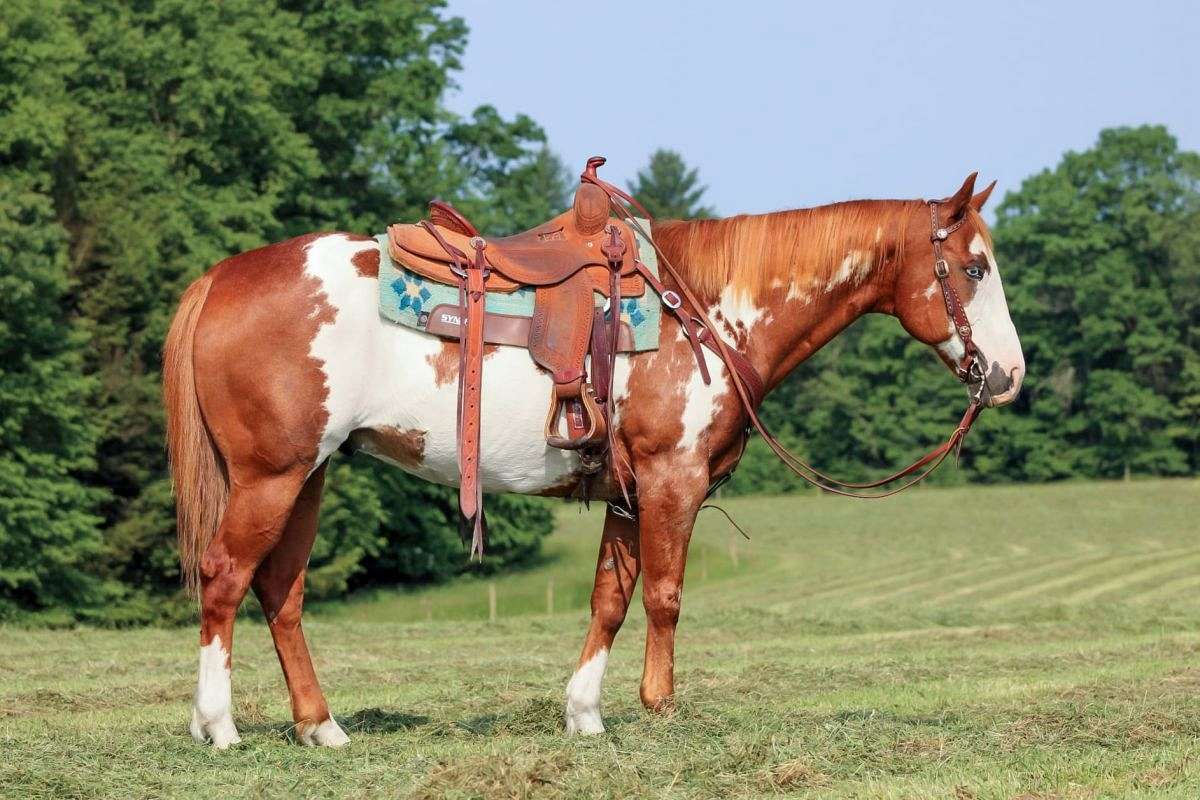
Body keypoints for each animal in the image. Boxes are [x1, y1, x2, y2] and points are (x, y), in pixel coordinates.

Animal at [164, 172, 1023, 747]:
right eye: (973, 268)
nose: (1009, 376)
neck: (707, 312)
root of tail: (221, 277)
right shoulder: (673, 480)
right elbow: (665, 596)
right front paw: (660, 707)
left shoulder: (625, 492)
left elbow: (610, 598)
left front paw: (584, 714)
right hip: (270, 478)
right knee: (226, 578)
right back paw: (219, 726)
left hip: (308, 476)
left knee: (281, 593)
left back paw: (322, 728)